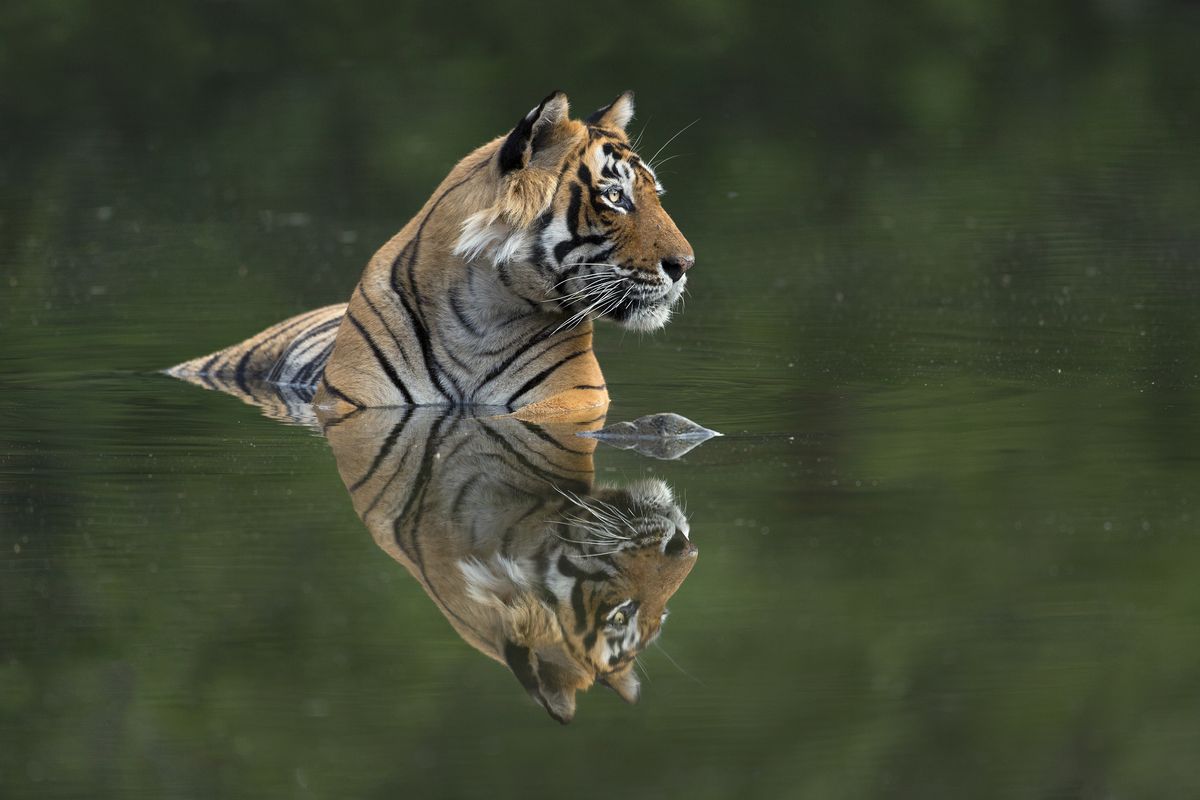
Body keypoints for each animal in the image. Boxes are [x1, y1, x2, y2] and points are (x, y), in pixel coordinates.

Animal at [168, 91, 695, 420]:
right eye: (616, 197)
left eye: (653, 194)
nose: (685, 265)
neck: (484, 317)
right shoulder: (356, 402)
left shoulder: (572, 401)